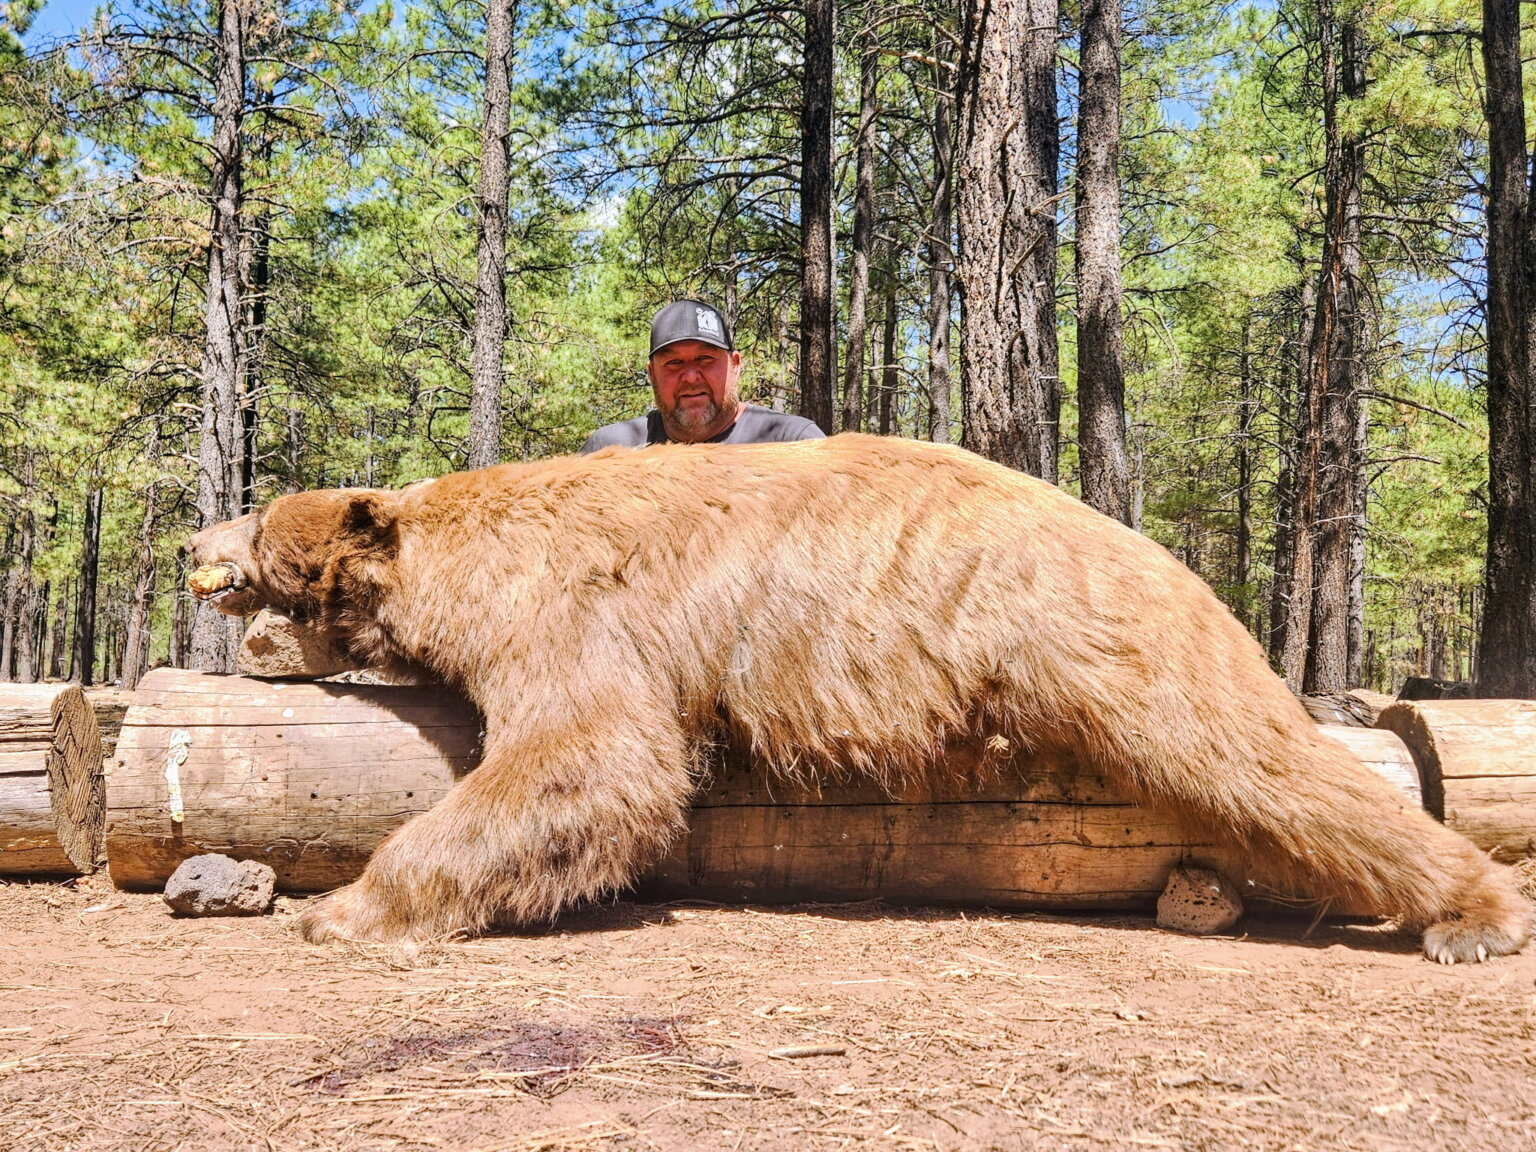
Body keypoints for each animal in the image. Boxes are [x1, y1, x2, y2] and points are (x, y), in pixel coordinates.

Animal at [185, 434, 1530, 962]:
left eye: (261, 522)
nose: (199, 542)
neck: (466, 539)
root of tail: (1154, 545)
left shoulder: (568, 609)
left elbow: (597, 759)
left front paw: (346, 906)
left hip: (1108, 643)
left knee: (1259, 757)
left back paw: (1474, 911)